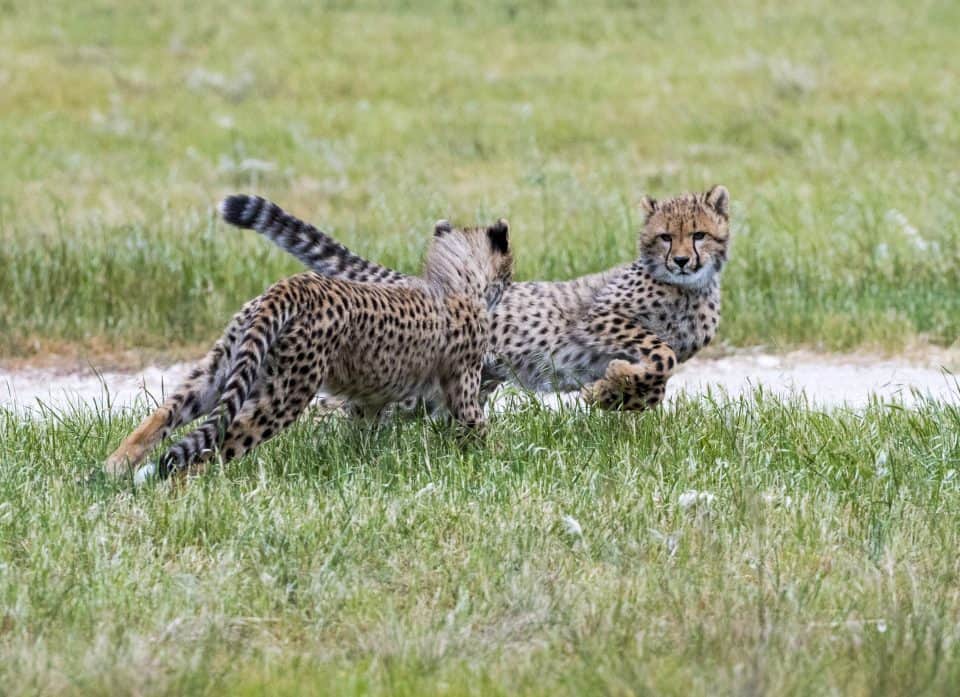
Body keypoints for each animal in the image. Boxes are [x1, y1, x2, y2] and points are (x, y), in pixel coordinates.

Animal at [103, 195, 512, 482]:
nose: (508, 287)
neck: (453, 280)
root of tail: (292, 286)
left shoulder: (369, 402)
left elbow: (361, 436)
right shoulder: (462, 391)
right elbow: (479, 431)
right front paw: (502, 462)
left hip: (223, 370)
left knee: (164, 415)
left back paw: (113, 468)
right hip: (284, 394)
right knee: (214, 447)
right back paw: (176, 489)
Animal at [225, 186, 731, 412]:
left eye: (699, 235)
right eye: (665, 236)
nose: (682, 260)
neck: (687, 292)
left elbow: (657, 377)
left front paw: (613, 390)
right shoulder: (600, 317)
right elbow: (660, 354)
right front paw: (610, 387)